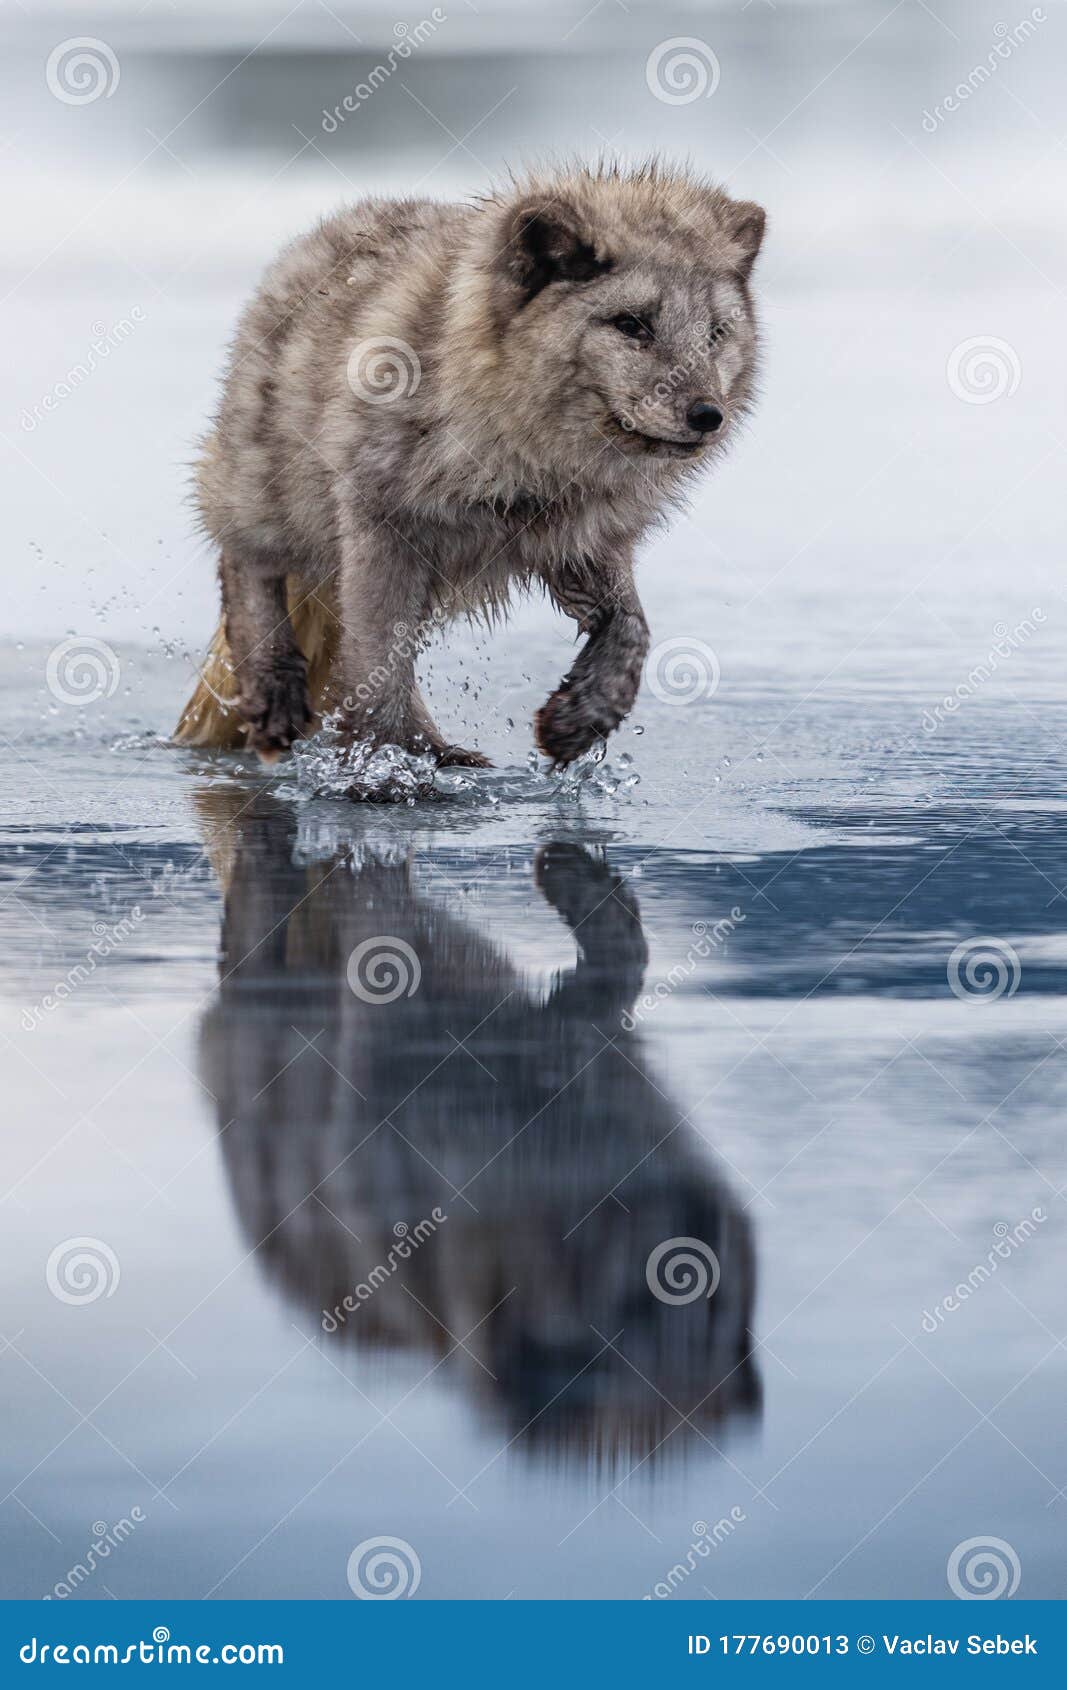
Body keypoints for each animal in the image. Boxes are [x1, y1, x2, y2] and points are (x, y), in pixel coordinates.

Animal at [175, 160, 766, 770]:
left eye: (716, 334)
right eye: (632, 325)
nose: (708, 416)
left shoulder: (582, 538)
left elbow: (632, 628)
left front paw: (582, 718)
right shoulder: (382, 523)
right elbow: (378, 658)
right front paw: (392, 762)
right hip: (271, 489)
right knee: (245, 559)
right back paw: (276, 687)